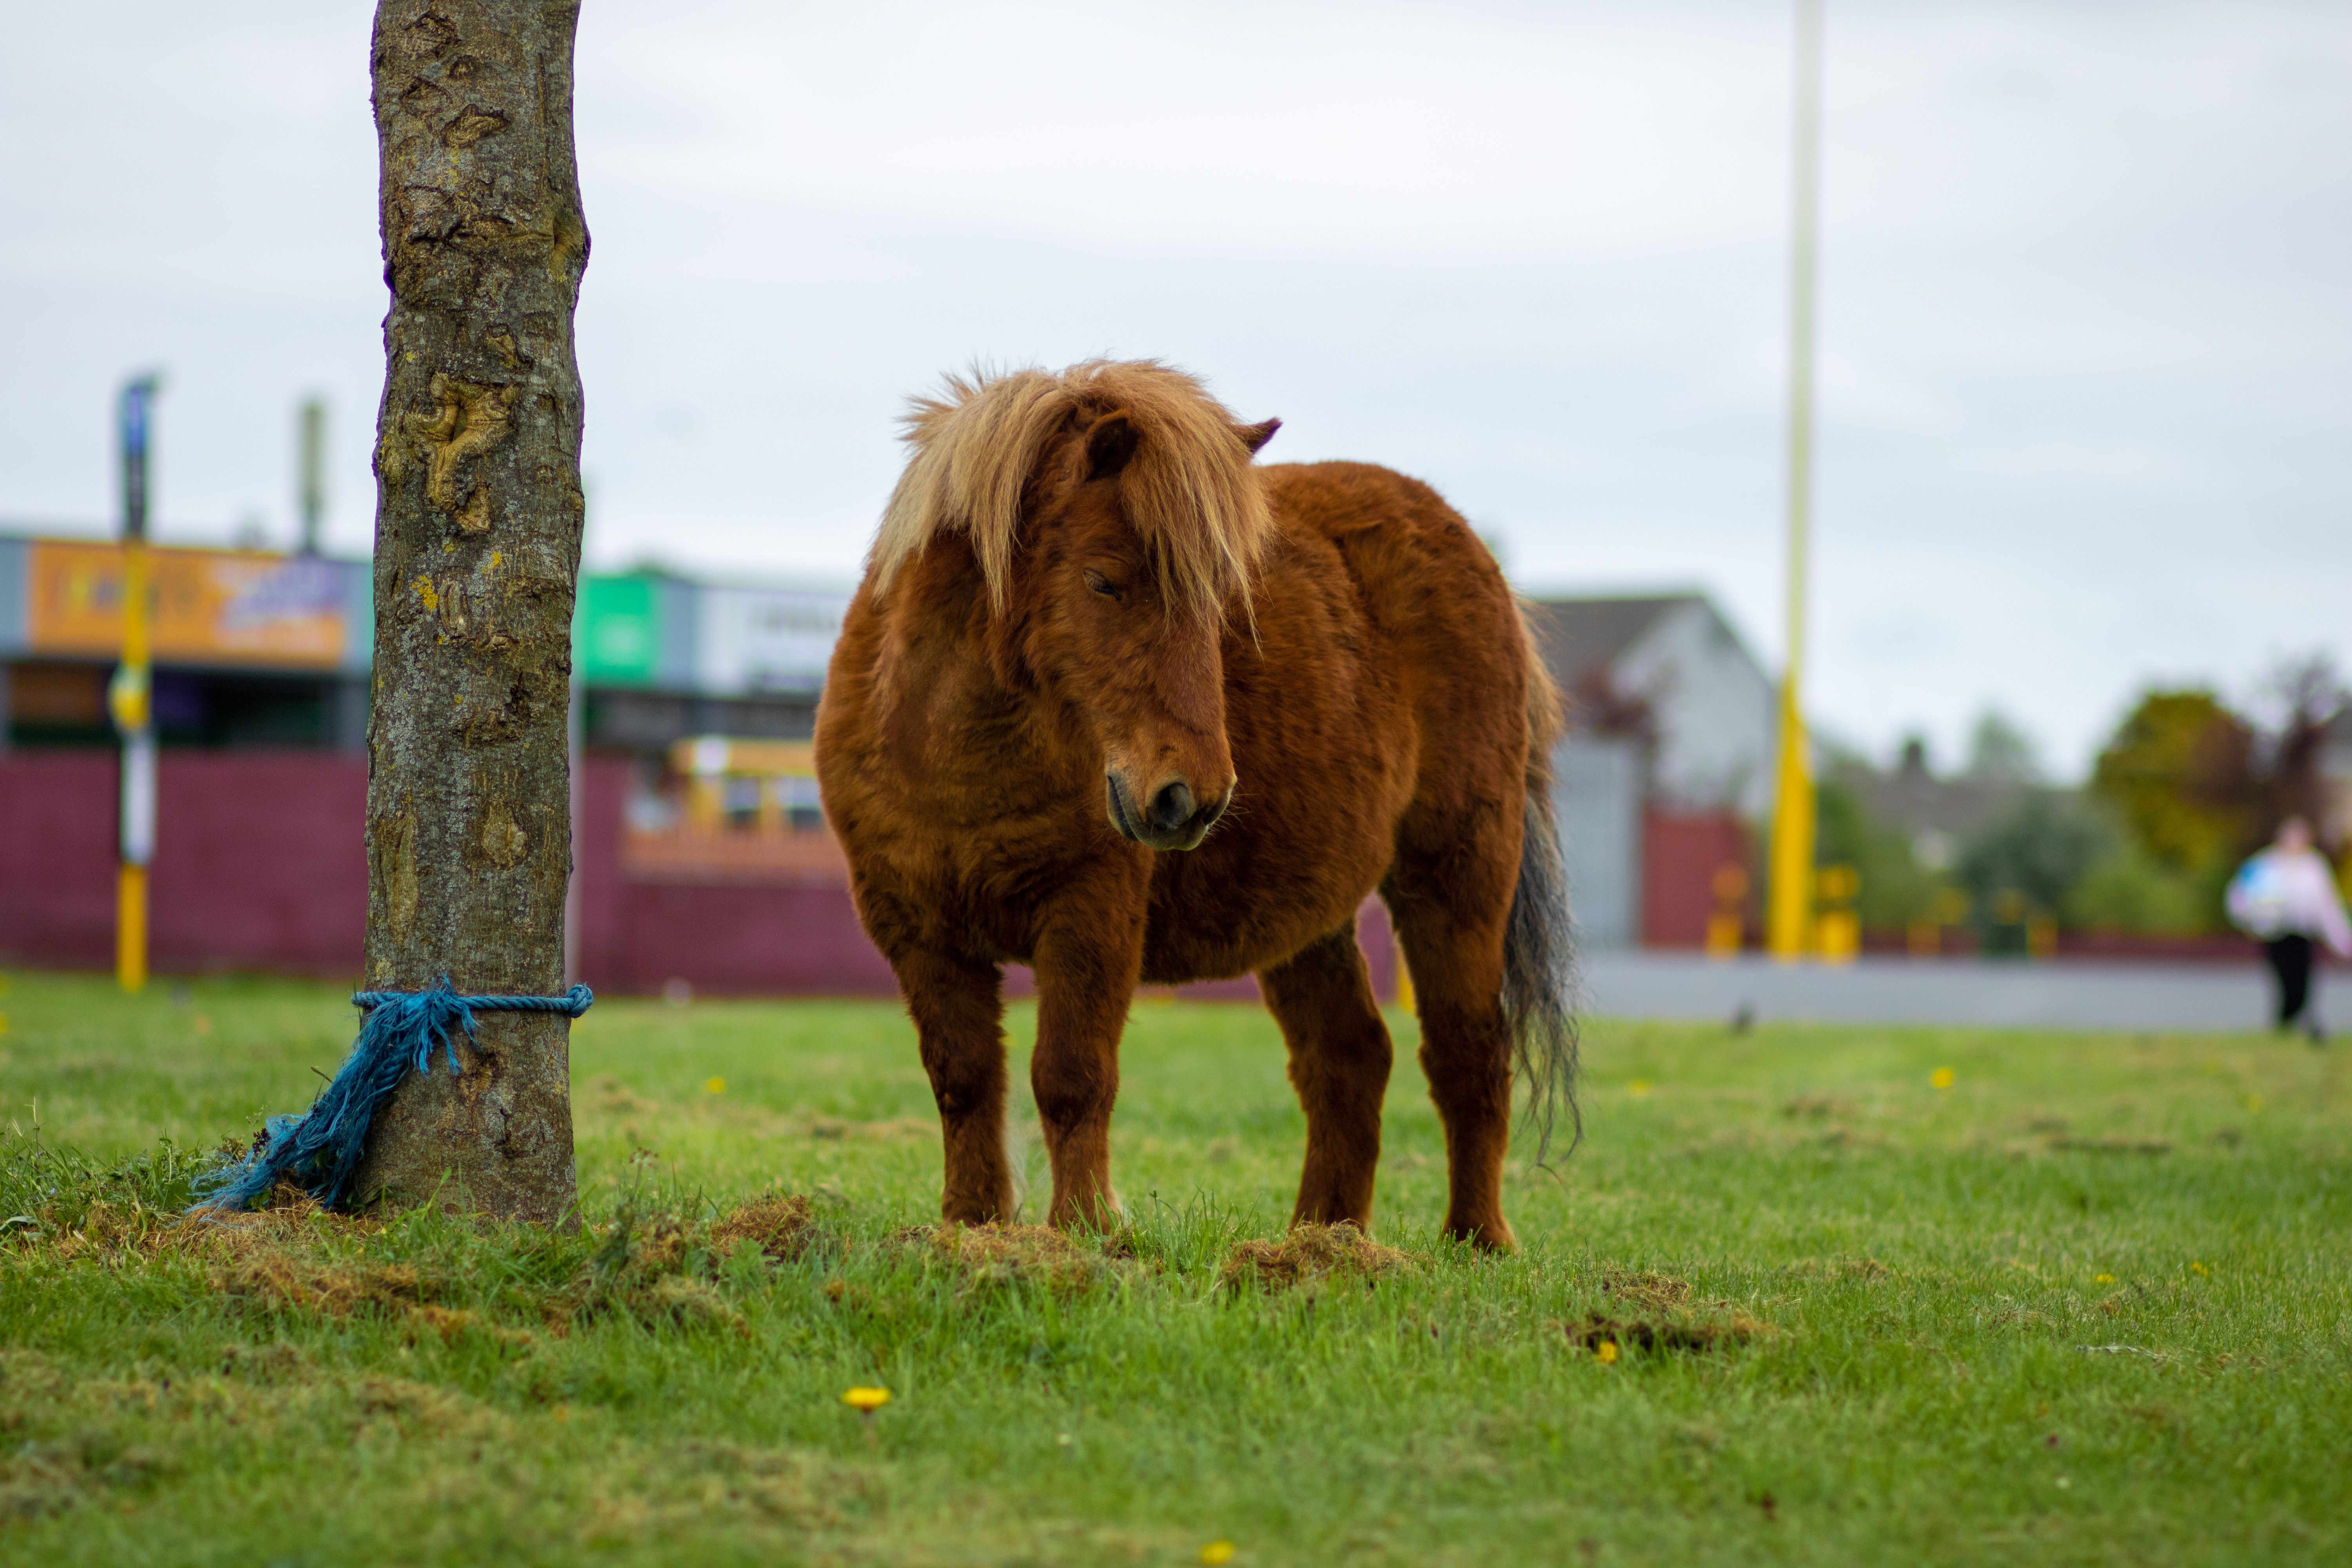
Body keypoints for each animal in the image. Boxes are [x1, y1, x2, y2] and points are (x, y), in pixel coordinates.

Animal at [814, 360, 1576, 1250]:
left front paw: (1084, 1232)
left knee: (1467, 1053)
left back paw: (1476, 1242)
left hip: (1457, 877)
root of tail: (1462, 542)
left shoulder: (1089, 914)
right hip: (1310, 918)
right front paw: (971, 1230)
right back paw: (1321, 1242)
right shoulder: (917, 929)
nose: (1192, 798)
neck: (954, 751)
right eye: (1103, 580)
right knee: (1349, 1058)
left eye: (1220, 600)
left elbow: (1071, 1075)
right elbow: (964, 1079)